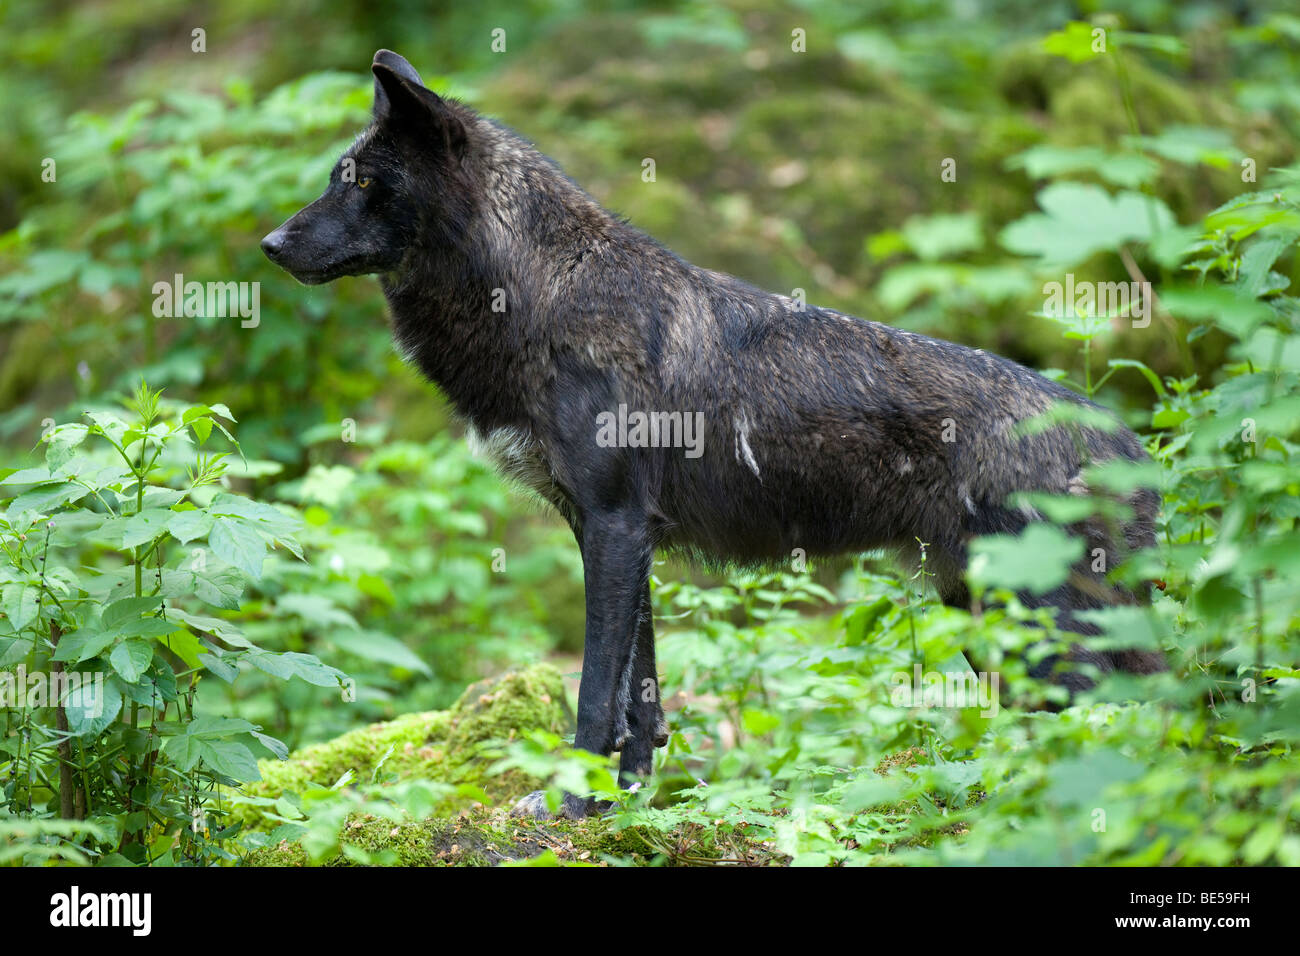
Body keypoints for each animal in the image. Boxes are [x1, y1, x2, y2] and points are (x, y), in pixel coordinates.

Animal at [262, 50, 1165, 819]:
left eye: (359, 180)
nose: (269, 243)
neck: (537, 297)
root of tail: (1128, 444)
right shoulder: (617, 533)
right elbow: (642, 698)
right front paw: (624, 806)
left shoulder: (614, 527)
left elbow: (593, 693)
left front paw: (571, 804)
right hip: (987, 617)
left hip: (1038, 626)